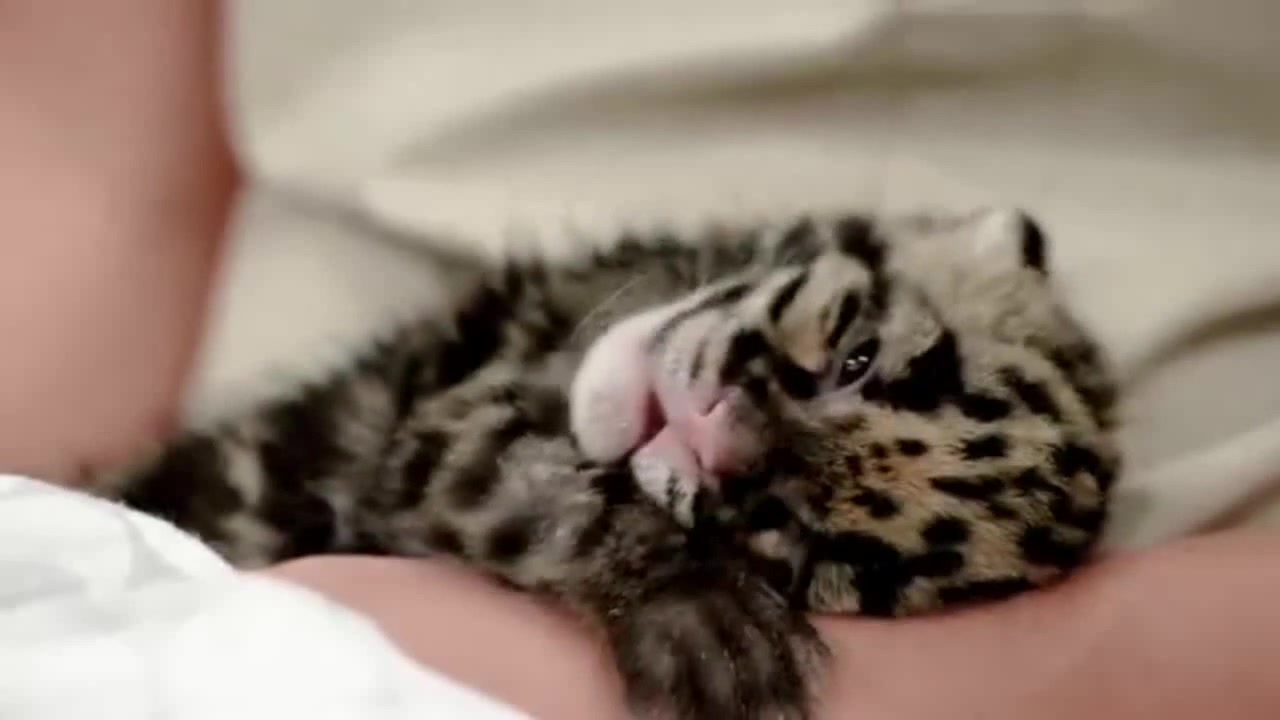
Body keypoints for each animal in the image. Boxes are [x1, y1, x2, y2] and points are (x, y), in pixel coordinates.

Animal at [91, 205, 1119, 720]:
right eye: (857, 360)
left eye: (792, 536)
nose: (715, 435)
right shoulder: (449, 420)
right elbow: (553, 496)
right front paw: (692, 606)